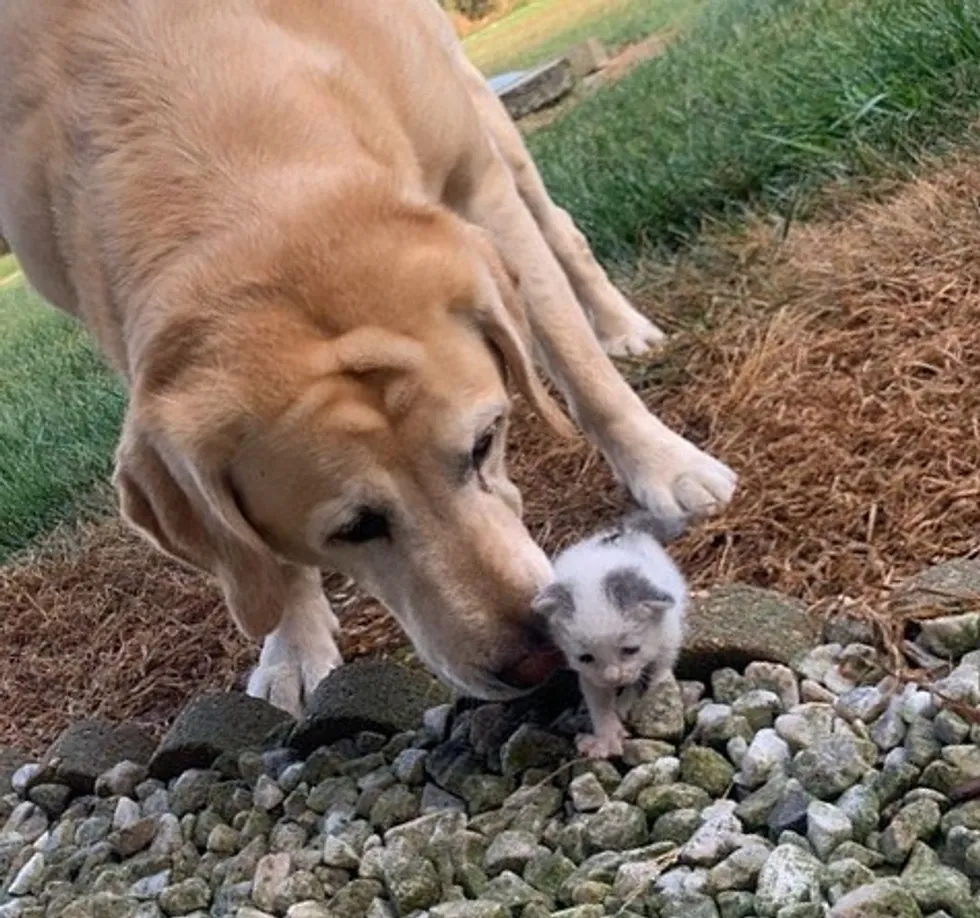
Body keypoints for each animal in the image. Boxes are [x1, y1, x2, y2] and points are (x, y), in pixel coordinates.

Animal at [0, 0, 736, 716]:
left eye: (485, 443)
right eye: (354, 528)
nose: (540, 658)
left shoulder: (476, 182)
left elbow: (570, 351)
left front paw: (666, 466)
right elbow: (249, 552)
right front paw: (292, 643)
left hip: (486, 116)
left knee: (563, 235)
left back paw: (622, 327)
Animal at [532, 510, 684, 760]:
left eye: (630, 650)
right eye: (585, 657)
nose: (613, 677)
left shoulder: (669, 630)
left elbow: (662, 665)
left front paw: (660, 693)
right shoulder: (591, 675)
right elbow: (598, 700)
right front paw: (607, 738)